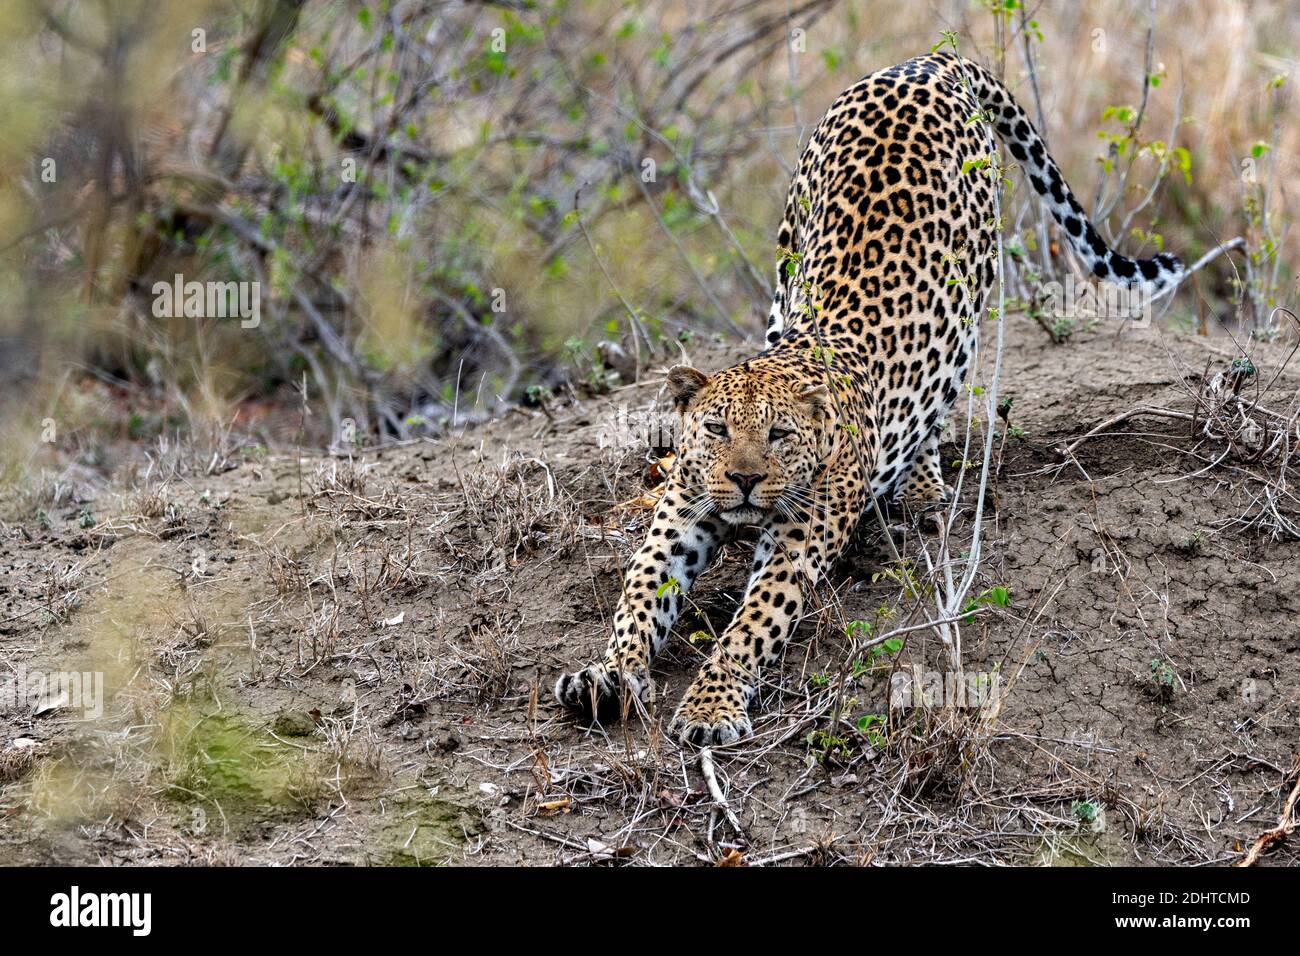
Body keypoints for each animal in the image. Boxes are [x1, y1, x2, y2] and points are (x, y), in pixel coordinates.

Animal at [555, 51, 1183, 745]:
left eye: (779, 435)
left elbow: (748, 629)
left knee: (938, 406)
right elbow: (637, 598)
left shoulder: (796, 546)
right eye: (716, 429)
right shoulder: (678, 523)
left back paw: (924, 490)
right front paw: (609, 676)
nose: (744, 481)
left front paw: (709, 708)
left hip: (967, 301)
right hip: (789, 249)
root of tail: (932, 61)